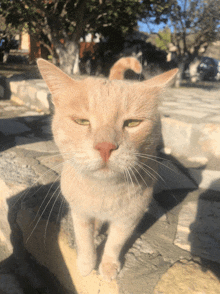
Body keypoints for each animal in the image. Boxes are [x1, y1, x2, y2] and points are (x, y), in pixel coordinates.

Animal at [36, 56, 177, 282]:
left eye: (133, 123)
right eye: (82, 121)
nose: (105, 147)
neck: (104, 191)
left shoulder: (129, 218)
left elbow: (115, 243)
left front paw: (109, 266)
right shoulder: (79, 212)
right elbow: (84, 240)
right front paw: (86, 265)